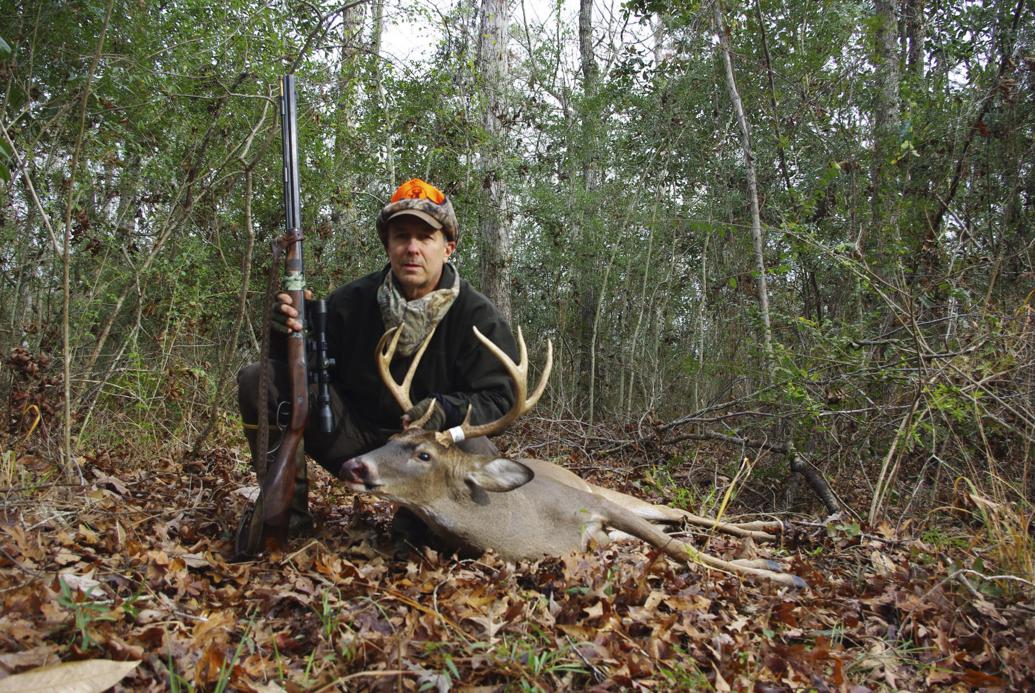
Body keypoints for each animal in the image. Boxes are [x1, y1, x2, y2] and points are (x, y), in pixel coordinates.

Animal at [339, 325, 806, 589]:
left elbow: (680, 549)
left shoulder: (591, 505)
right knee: (677, 523)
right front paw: (771, 565)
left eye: (423, 454)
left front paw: (785, 574)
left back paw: (770, 531)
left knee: (680, 514)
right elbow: (672, 546)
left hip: (610, 492)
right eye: (392, 436)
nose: (353, 464)